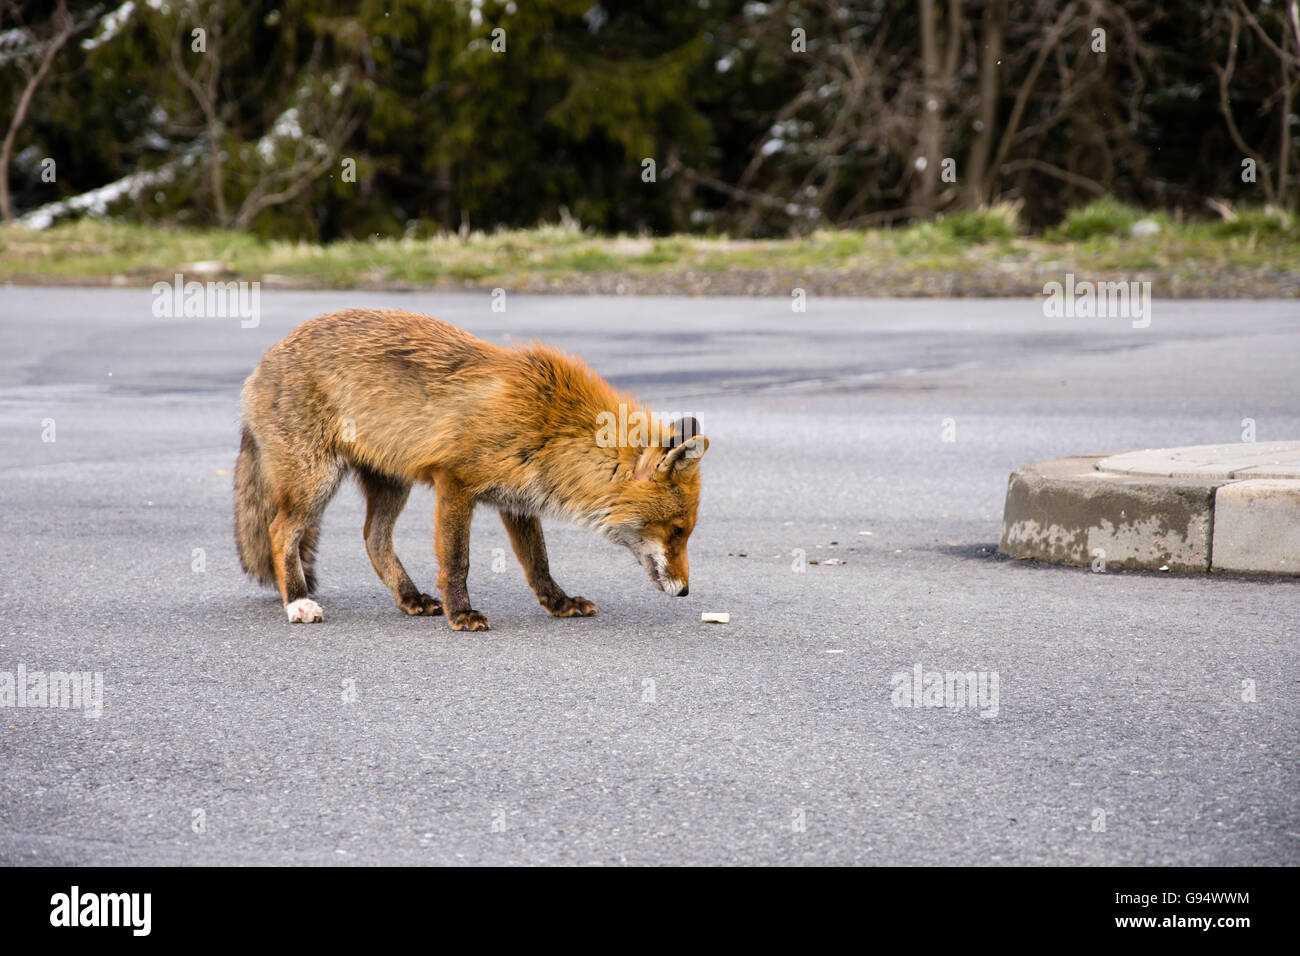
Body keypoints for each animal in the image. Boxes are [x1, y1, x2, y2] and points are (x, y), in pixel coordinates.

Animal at [234, 309, 709, 629]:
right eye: (678, 531)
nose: (687, 590)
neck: (550, 424)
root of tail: (263, 359)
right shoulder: (455, 482)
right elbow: (456, 560)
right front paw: (460, 613)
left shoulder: (518, 501)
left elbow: (538, 563)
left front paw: (559, 604)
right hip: (314, 482)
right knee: (281, 531)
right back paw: (297, 602)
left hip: (391, 483)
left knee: (374, 539)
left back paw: (409, 598)